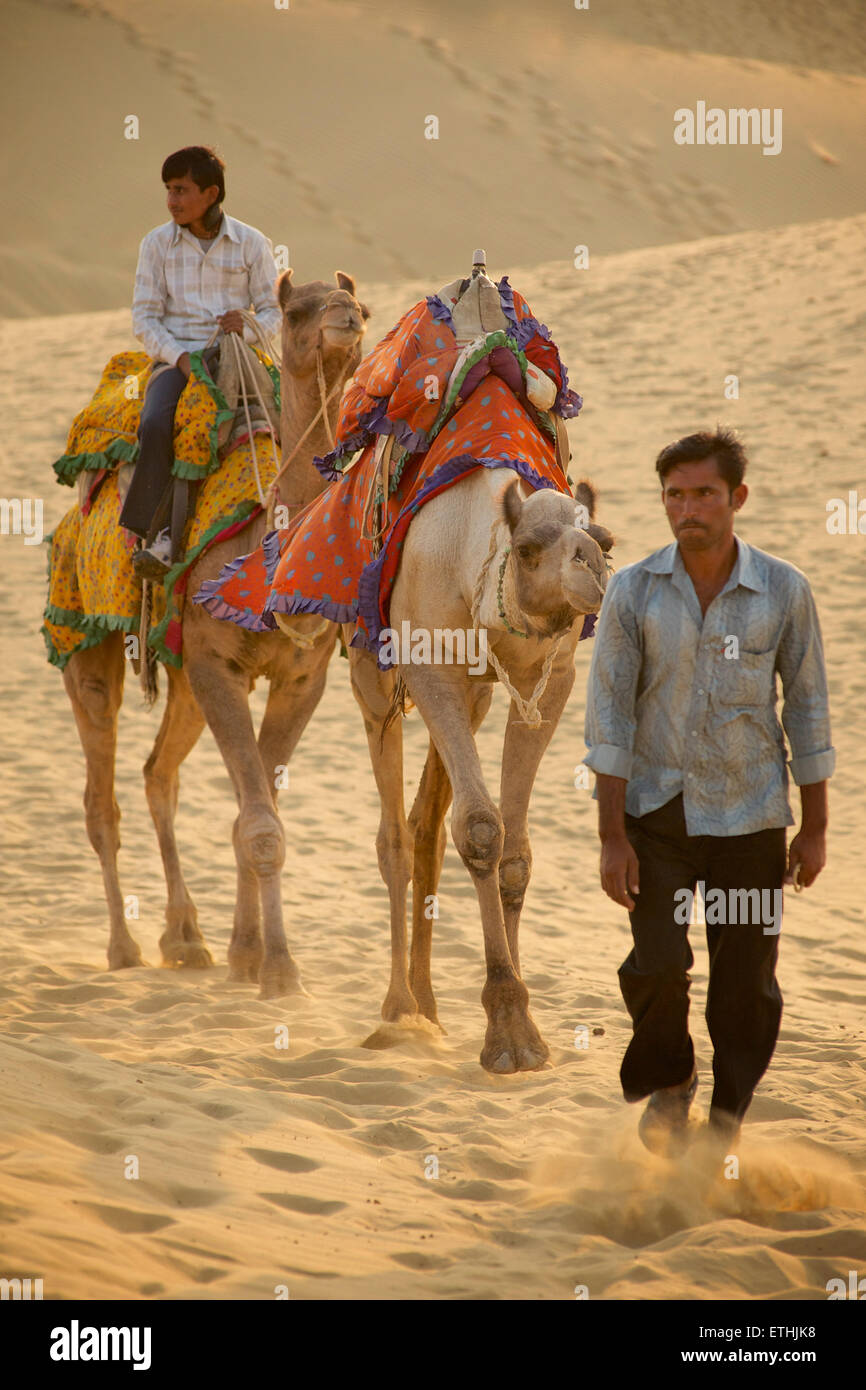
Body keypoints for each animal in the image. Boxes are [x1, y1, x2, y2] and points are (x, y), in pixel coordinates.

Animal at [61, 271, 368, 995]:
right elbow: (259, 826)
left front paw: (249, 953)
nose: (347, 317)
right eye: (297, 309)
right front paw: (279, 970)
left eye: (357, 300)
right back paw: (125, 946)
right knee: (102, 799)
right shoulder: (213, 664)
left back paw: (186, 936)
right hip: (85, 633)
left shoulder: (300, 678)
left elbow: (258, 813)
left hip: (183, 678)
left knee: (157, 774)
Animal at [343, 472, 613, 1072]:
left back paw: (425, 1005)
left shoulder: (550, 674)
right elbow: (481, 828)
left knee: (423, 824)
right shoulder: (427, 661)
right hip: (369, 667)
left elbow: (515, 852)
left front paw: (525, 1027)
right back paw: (394, 1009)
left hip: (475, 692)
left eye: (605, 541)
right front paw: (508, 1028)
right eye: (529, 548)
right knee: (392, 830)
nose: (591, 566)